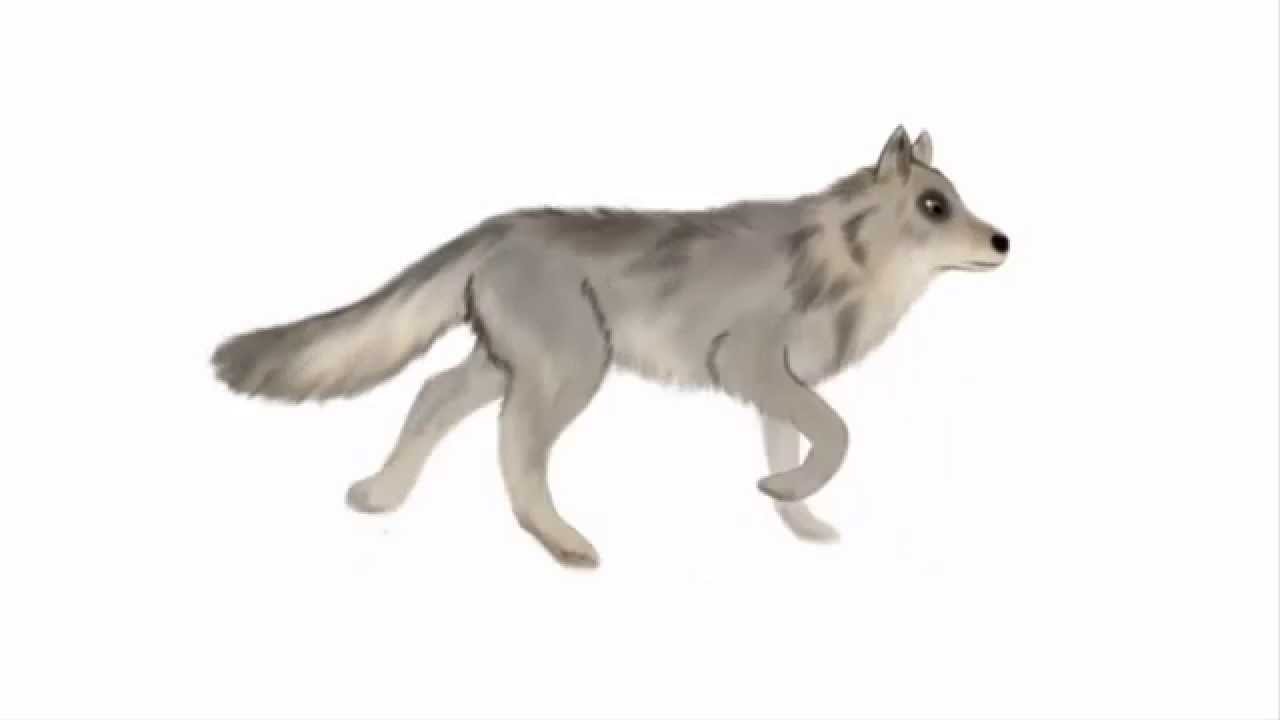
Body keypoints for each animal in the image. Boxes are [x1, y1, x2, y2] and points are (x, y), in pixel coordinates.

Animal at [211, 126, 1009, 568]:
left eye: (959, 201)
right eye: (935, 206)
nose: (1004, 241)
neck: (848, 260)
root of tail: (500, 226)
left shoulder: (774, 389)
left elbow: (800, 450)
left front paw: (798, 517)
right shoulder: (749, 366)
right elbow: (838, 438)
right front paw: (787, 493)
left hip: (503, 366)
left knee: (431, 397)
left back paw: (381, 496)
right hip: (570, 371)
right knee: (515, 448)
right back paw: (562, 543)